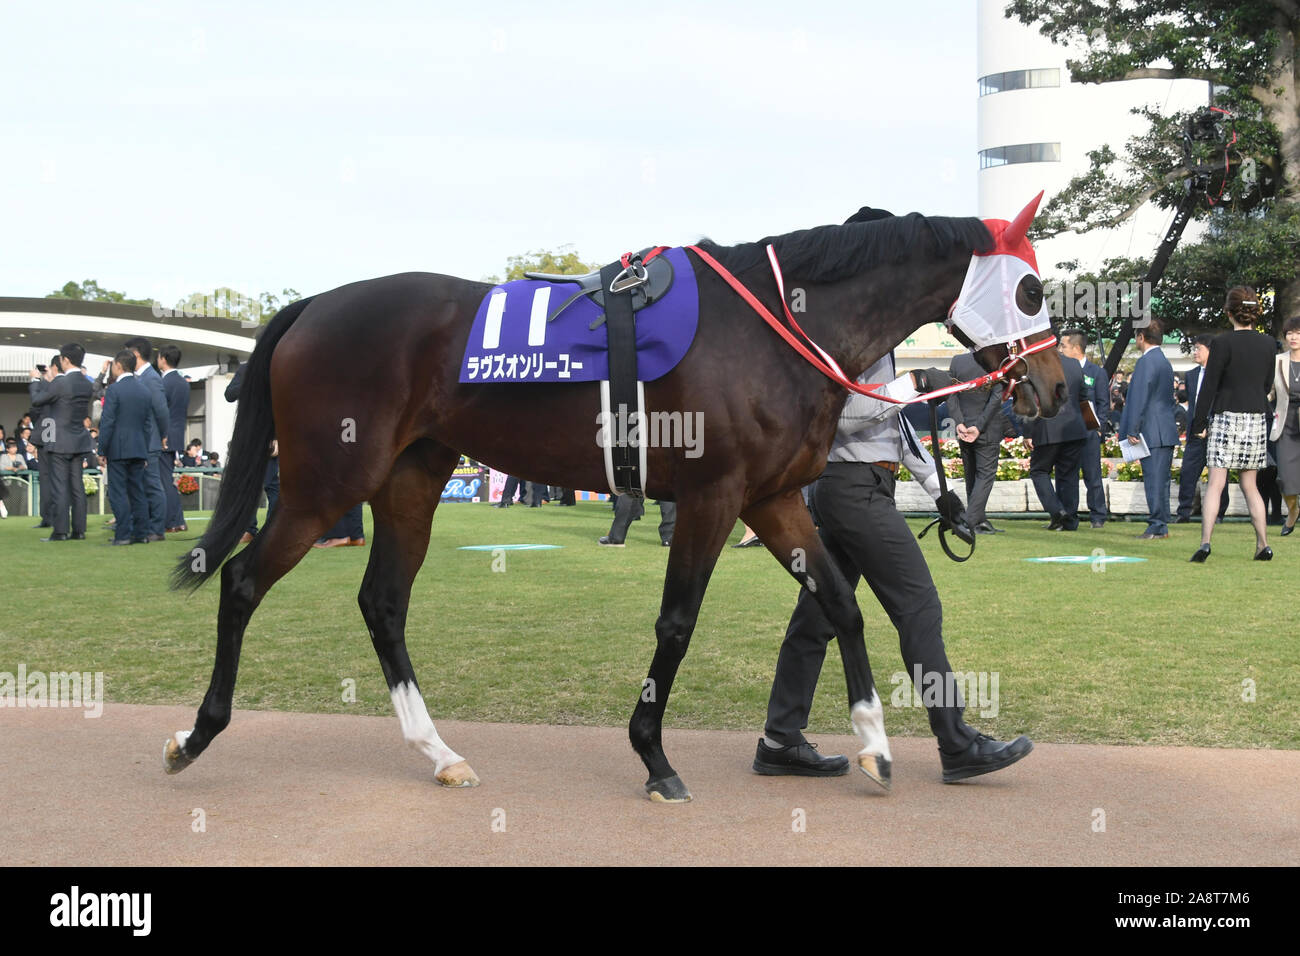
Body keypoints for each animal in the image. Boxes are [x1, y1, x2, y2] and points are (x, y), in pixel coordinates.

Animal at [165, 196, 1066, 803]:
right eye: (1031, 291)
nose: (1055, 388)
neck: (776, 324)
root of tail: (315, 305)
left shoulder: (772, 497)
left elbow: (841, 601)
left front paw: (876, 744)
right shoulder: (713, 495)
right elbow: (678, 622)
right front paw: (654, 757)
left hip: (412, 479)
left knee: (382, 603)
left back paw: (439, 751)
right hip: (327, 483)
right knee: (243, 582)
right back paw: (196, 735)